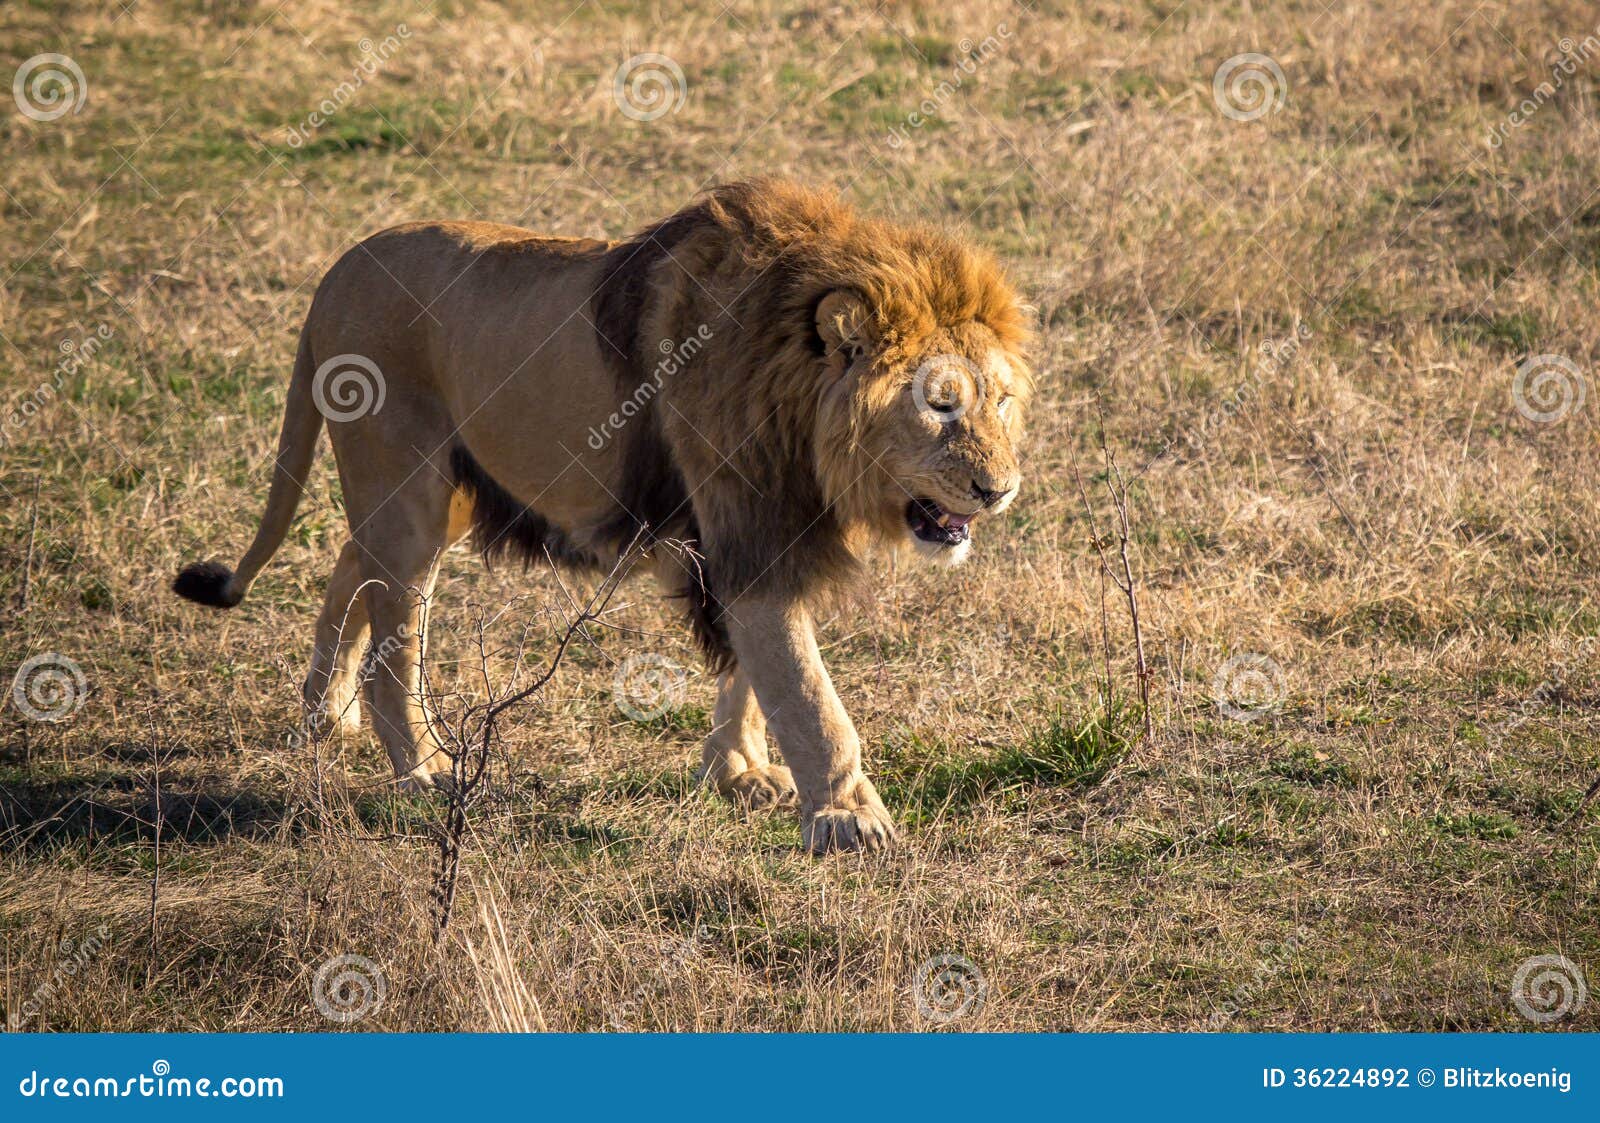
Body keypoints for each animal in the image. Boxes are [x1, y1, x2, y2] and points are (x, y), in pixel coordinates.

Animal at [173, 178, 1031, 853]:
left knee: (350, 564)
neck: (800, 408)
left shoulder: (755, 538)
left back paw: (325, 713)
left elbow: (752, 675)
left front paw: (740, 771)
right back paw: (418, 767)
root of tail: (334, 274)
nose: (1001, 490)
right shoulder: (750, 532)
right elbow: (808, 693)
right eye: (939, 404)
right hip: (404, 487)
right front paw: (849, 820)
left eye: (1000, 399)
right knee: (395, 631)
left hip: (442, 493)